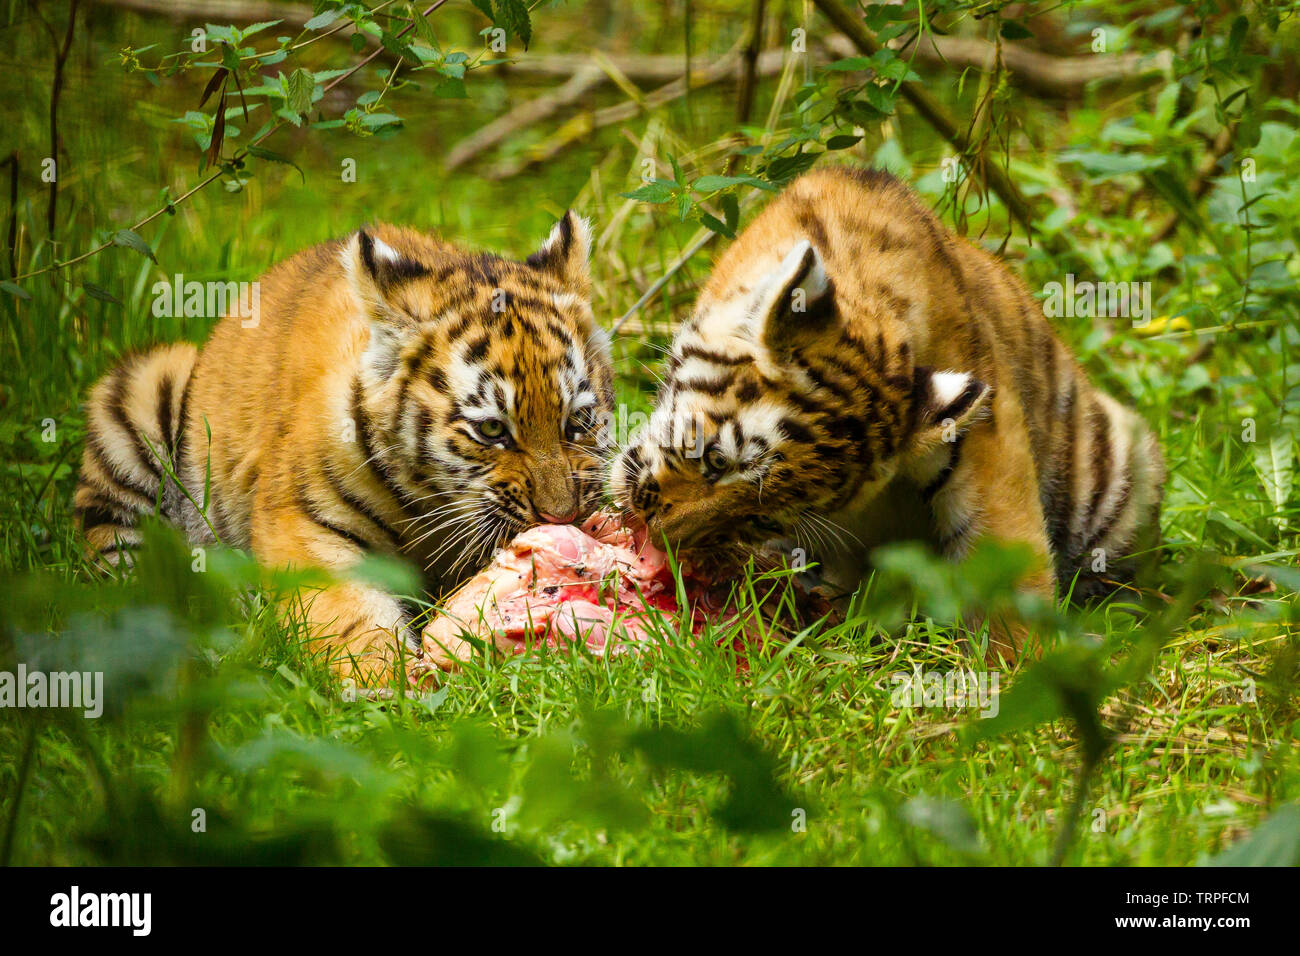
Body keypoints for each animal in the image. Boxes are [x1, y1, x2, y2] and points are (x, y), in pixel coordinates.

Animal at [75, 212, 613, 683]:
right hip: (145, 385)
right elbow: (349, 614)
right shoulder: (304, 525)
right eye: (492, 431)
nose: (561, 517)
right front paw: (386, 681)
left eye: (577, 422)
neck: (432, 500)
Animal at [611, 166, 1165, 663]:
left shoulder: (987, 437)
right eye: (716, 461)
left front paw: (1029, 668)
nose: (659, 540)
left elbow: (1006, 550)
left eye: (761, 518)